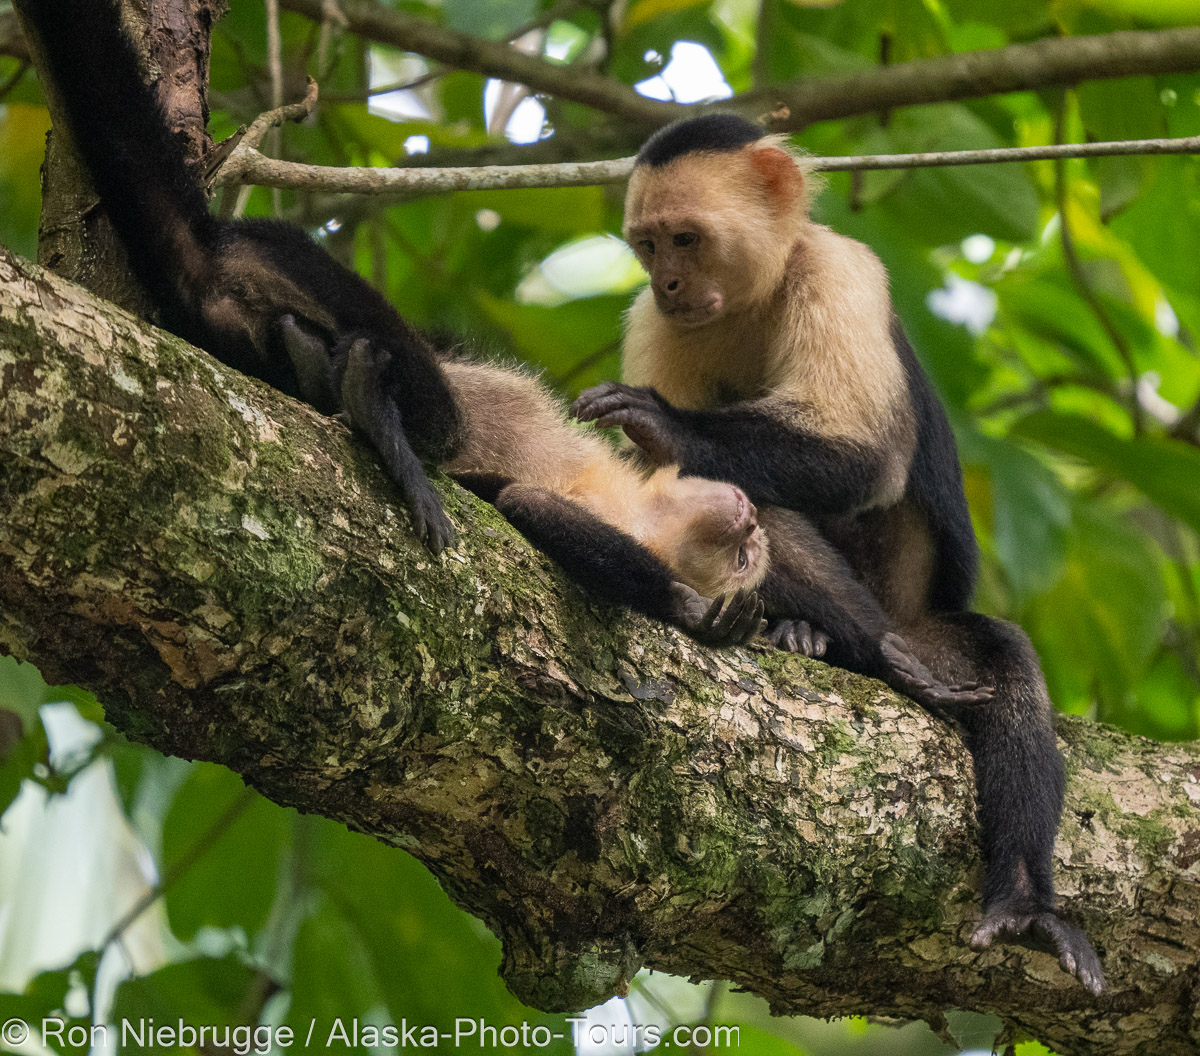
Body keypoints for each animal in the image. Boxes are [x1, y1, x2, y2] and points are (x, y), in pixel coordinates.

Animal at [571, 114, 1104, 994]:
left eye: (686, 239)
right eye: (647, 248)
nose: (672, 283)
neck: (750, 300)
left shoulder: (839, 270)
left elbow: (862, 457)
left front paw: (663, 424)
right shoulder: (651, 321)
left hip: (923, 618)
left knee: (1000, 669)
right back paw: (814, 635)